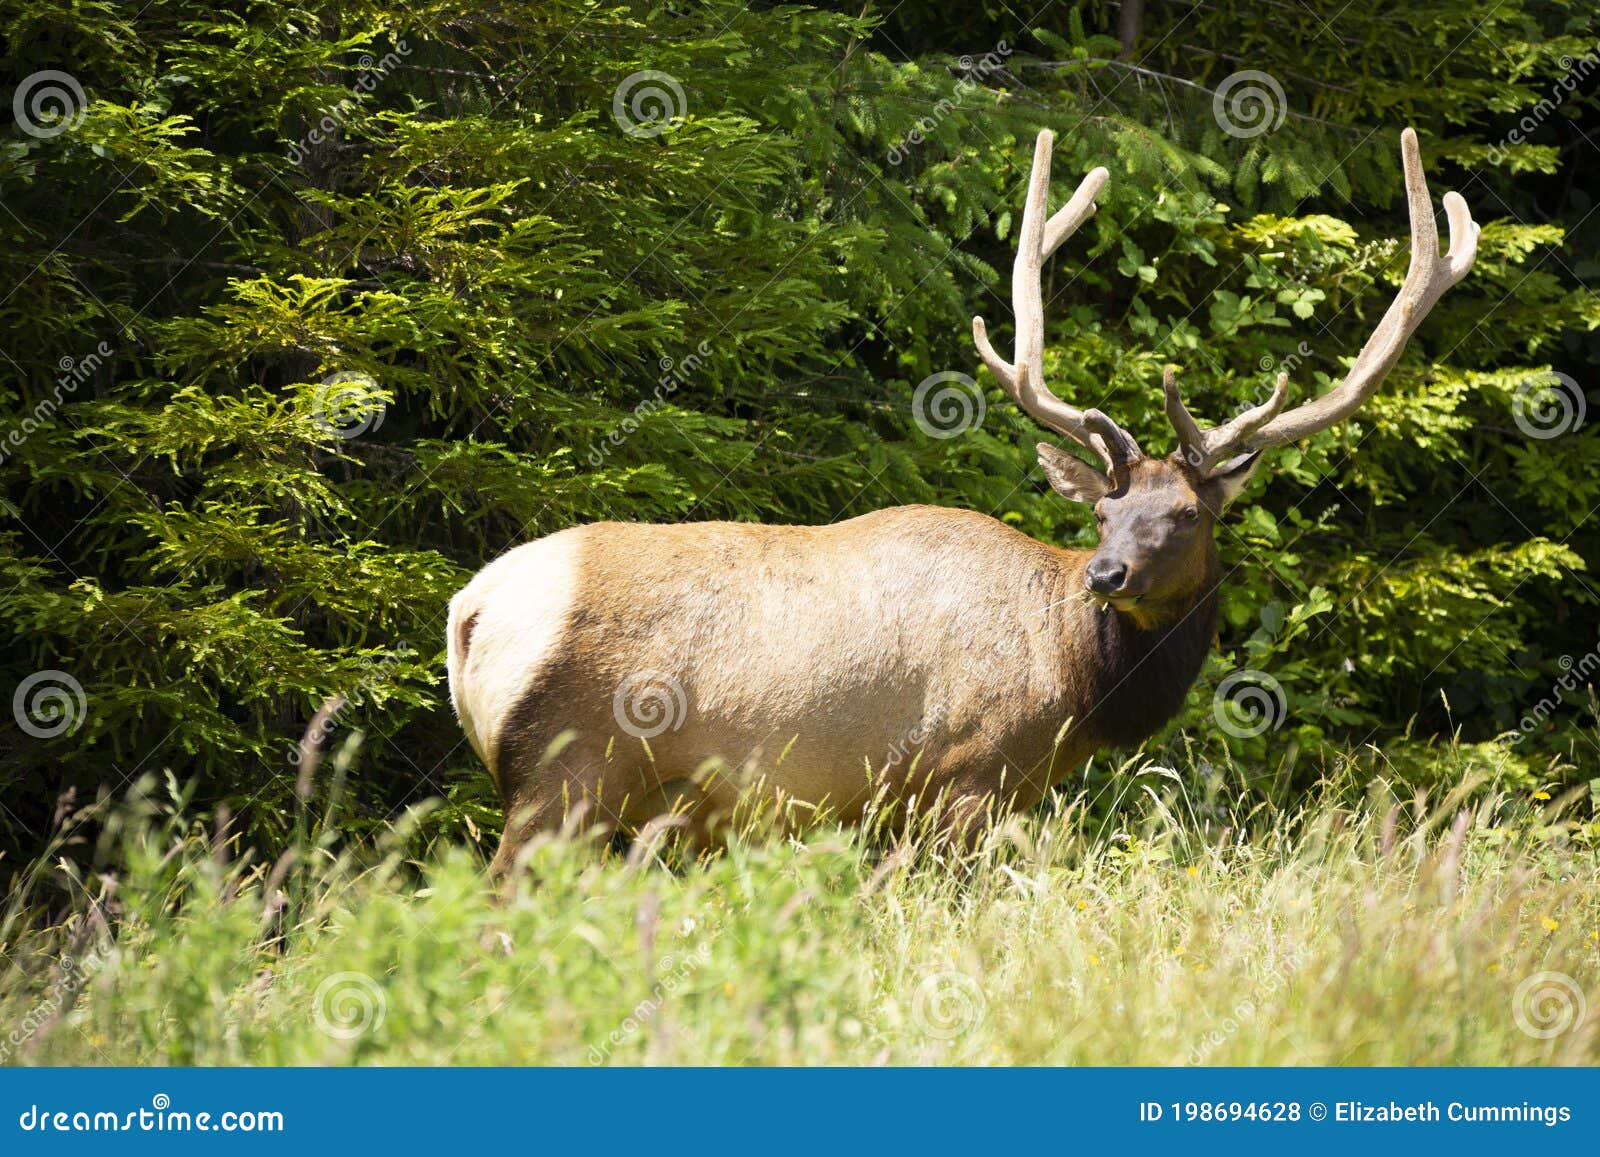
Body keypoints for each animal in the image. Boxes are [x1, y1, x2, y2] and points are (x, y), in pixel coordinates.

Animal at [447, 127, 1478, 874]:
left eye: (1185, 514)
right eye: (1102, 514)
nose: (1108, 574)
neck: (1073, 679)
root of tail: (470, 607)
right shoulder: (966, 776)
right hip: (564, 769)